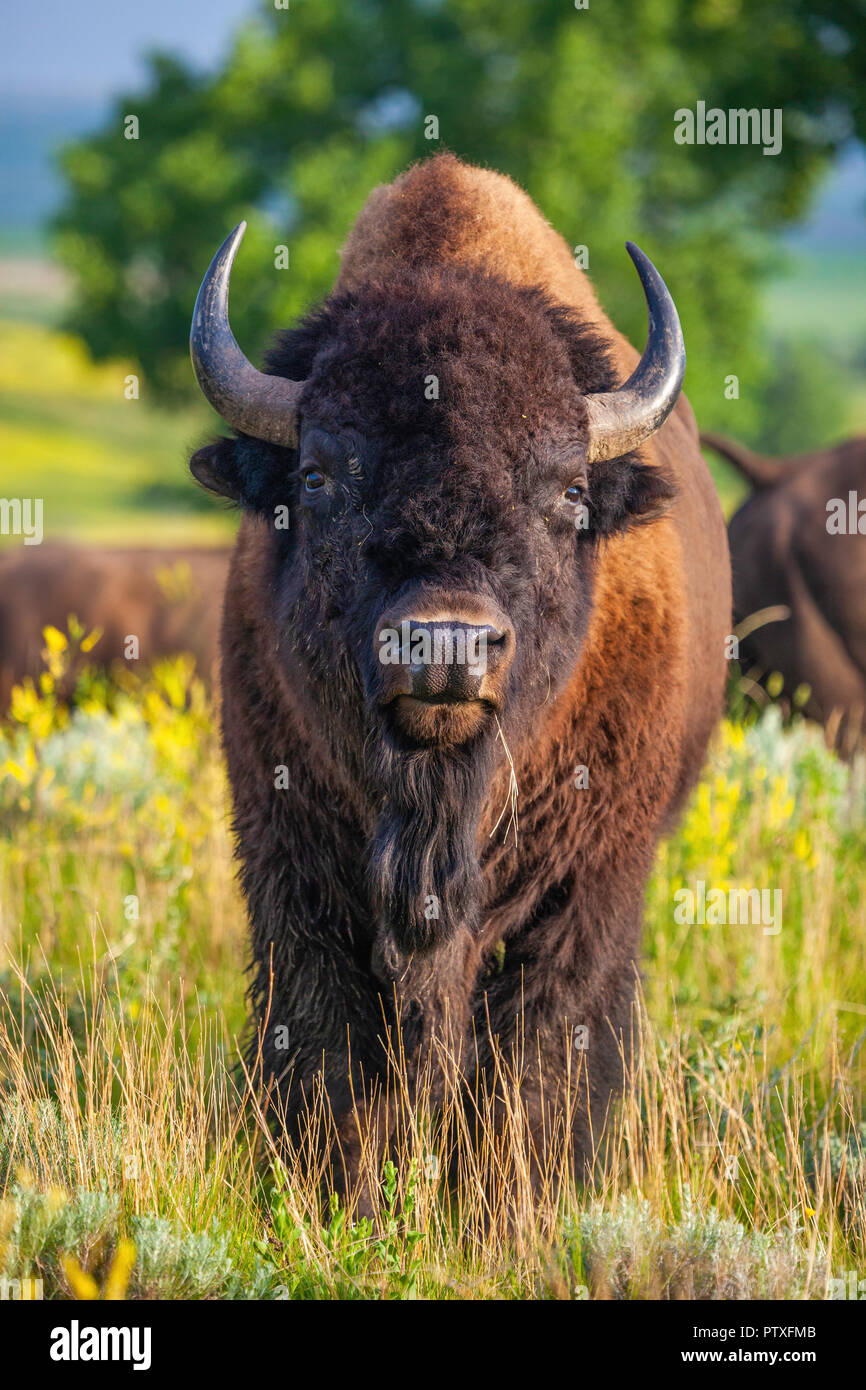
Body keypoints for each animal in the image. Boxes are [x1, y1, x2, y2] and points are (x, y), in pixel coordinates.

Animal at [189, 155, 730, 1192]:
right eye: (319, 476)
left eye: (568, 490)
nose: (444, 645)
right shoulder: (292, 864)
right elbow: (328, 1046)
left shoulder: (585, 887)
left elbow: (537, 1057)